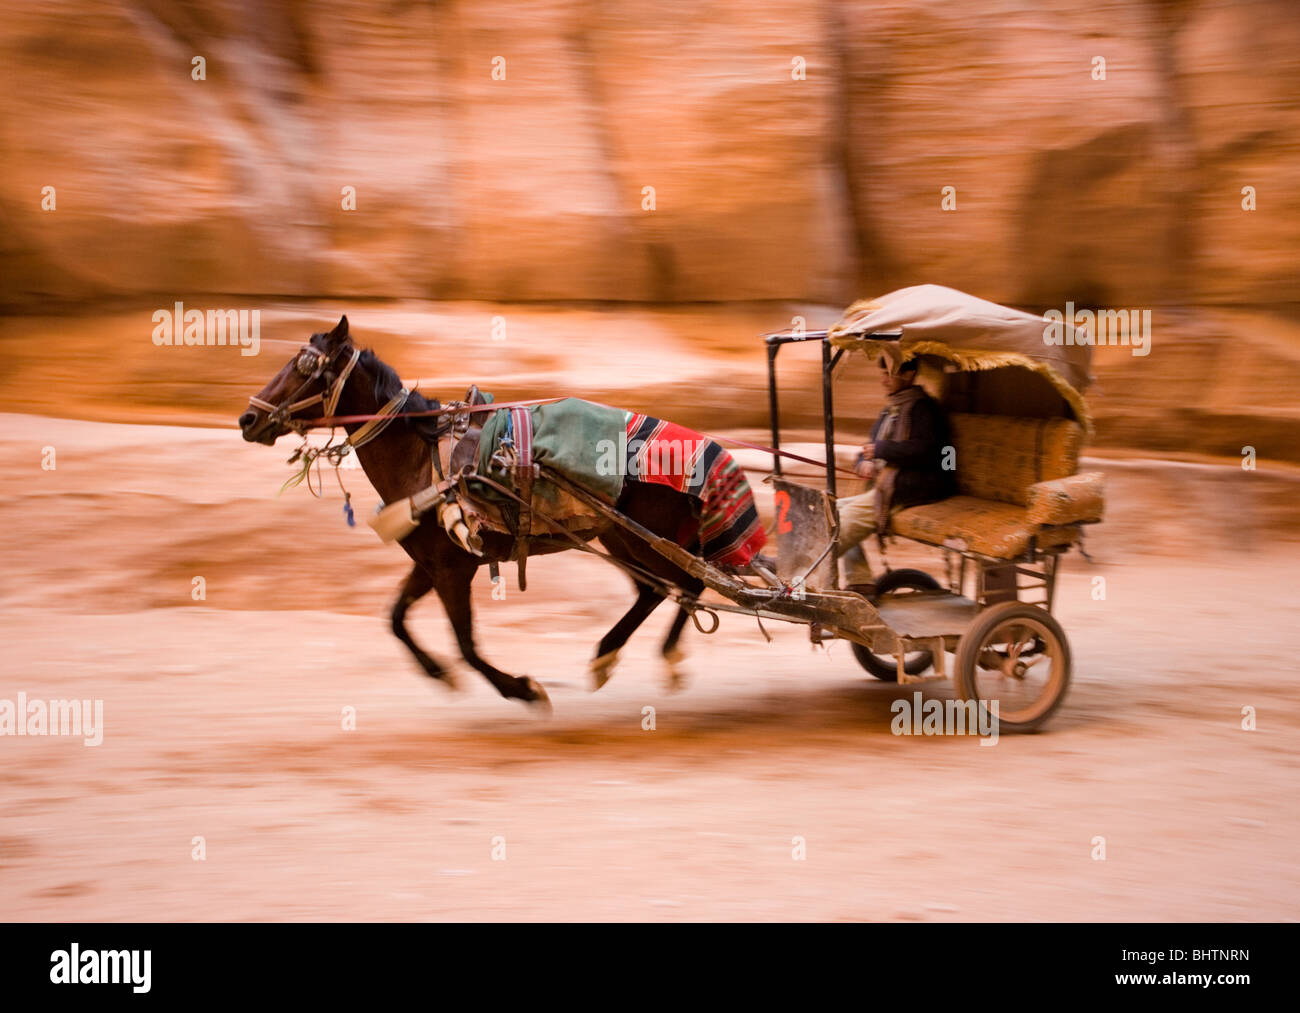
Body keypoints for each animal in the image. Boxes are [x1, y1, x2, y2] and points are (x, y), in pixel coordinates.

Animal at [237, 316, 707, 708]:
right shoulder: (430, 563)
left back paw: (664, 656)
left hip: (650, 540)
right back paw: (606, 657)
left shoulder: (453, 569)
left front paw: (523, 689)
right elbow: (396, 619)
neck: (420, 459)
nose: (247, 420)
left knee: (690, 585)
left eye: (303, 367)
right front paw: (437, 672)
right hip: (618, 537)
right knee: (655, 591)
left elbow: (465, 645)